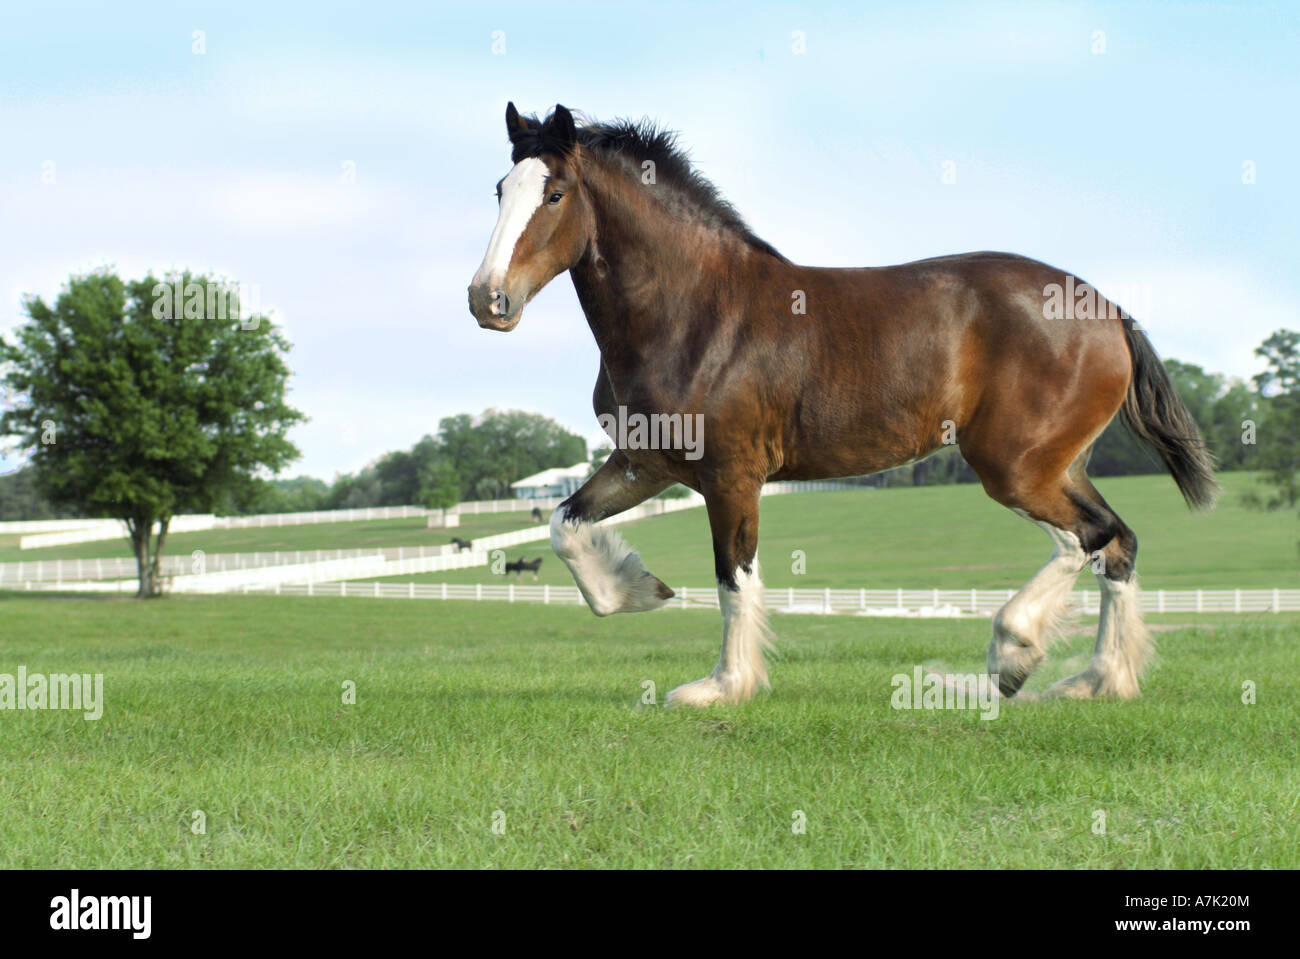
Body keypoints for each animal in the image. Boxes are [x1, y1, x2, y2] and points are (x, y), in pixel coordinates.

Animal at [467, 102, 1217, 707]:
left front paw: (722, 687)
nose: (487, 300)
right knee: (1118, 542)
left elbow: (734, 576)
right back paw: (1098, 681)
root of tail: (1107, 310)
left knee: (1086, 538)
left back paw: (1014, 654)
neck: (696, 312)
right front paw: (637, 586)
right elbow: (564, 525)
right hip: (1059, 463)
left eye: (555, 193)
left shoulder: (731, 475)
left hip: (1015, 467)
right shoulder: (646, 463)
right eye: (501, 189)